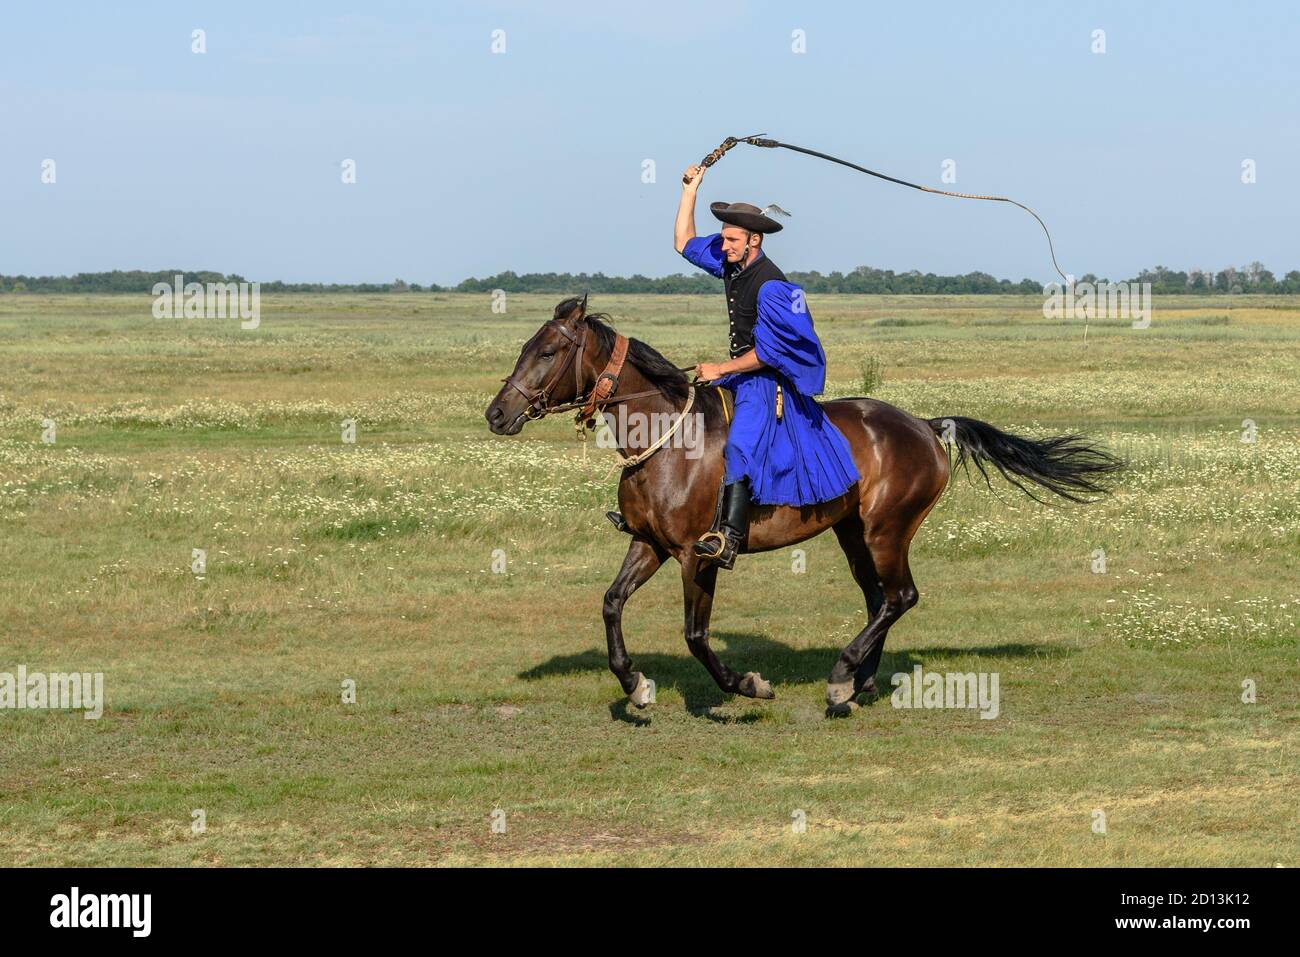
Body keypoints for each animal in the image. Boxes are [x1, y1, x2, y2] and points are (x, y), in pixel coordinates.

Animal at [485, 296, 1122, 712]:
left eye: (548, 351)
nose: (496, 413)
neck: (667, 439)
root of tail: (924, 424)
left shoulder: (696, 555)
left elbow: (695, 635)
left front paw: (748, 685)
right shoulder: (650, 544)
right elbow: (612, 604)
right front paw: (634, 685)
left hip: (886, 530)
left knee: (901, 597)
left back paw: (843, 677)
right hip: (853, 532)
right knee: (879, 599)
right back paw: (860, 680)